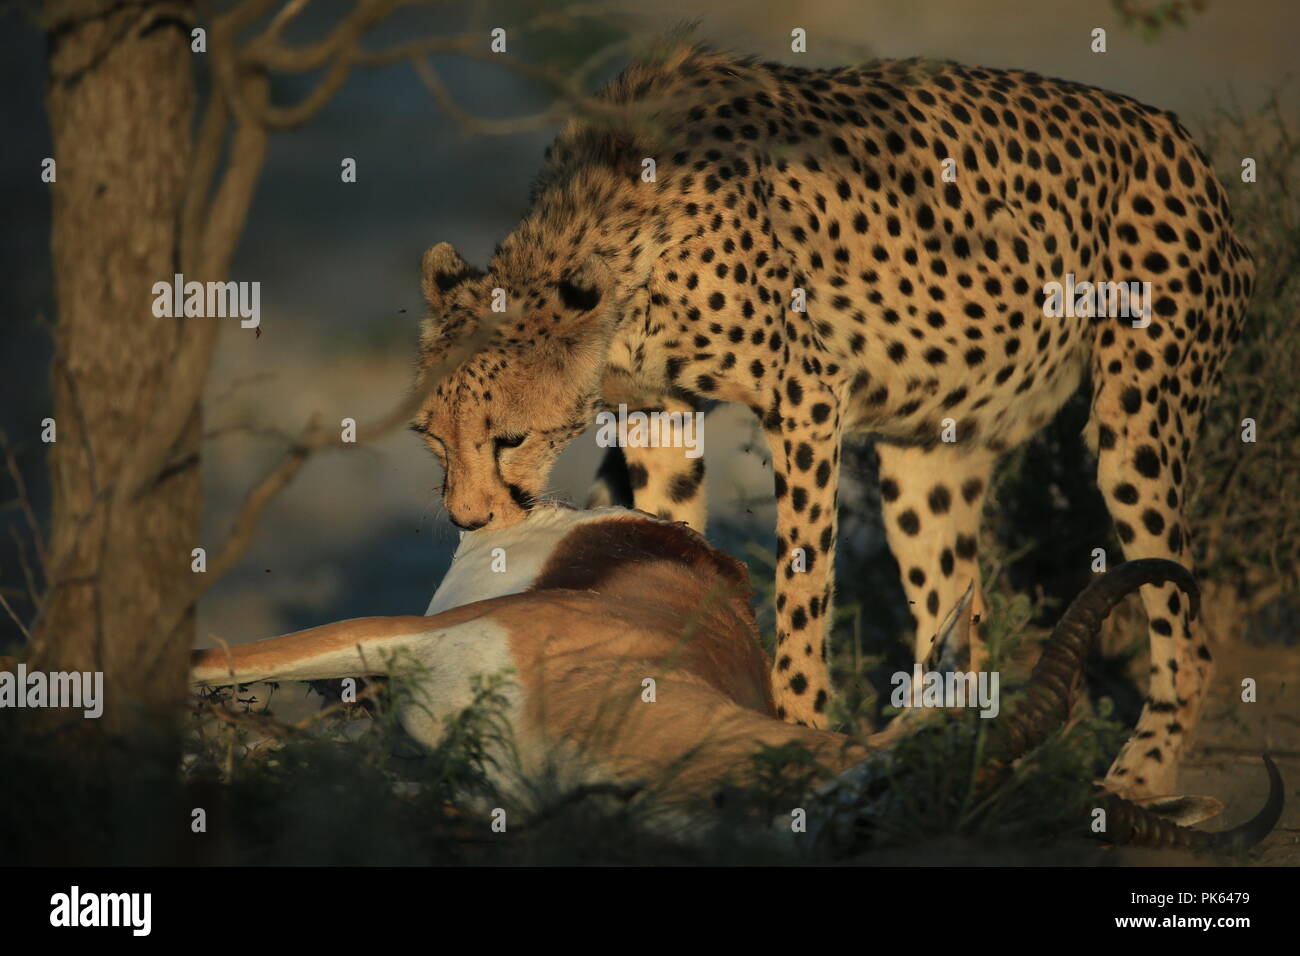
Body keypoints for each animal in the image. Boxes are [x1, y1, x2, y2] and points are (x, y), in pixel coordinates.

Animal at [410, 44, 1254, 800]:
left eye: (510, 439)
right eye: (430, 438)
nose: (469, 519)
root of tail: (1182, 139)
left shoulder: (807, 395)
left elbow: (803, 586)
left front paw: (796, 725)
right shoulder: (658, 411)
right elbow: (671, 526)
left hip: (1136, 427)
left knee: (1189, 633)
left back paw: (1142, 776)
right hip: (926, 459)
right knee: (962, 613)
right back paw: (930, 748)